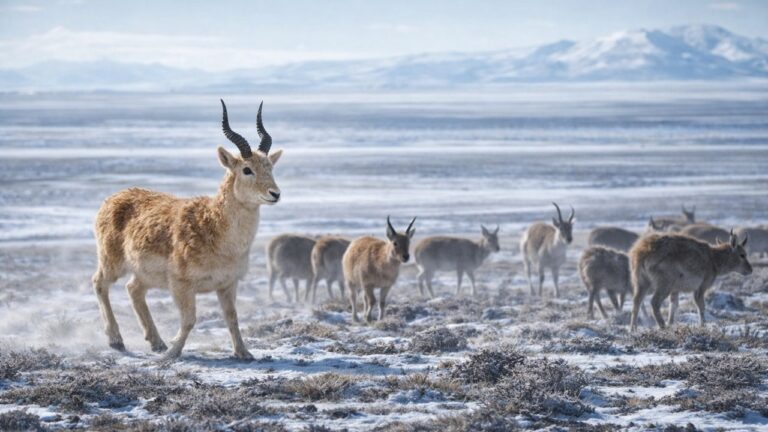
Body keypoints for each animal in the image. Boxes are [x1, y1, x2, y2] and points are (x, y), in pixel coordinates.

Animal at [92, 100, 282, 360]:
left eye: (269, 166)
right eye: (247, 169)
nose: (275, 193)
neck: (216, 231)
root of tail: (112, 199)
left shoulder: (227, 284)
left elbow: (232, 318)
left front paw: (244, 353)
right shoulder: (181, 284)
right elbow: (190, 319)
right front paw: (172, 353)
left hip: (144, 273)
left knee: (133, 290)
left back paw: (156, 342)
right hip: (113, 262)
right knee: (99, 283)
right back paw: (117, 341)